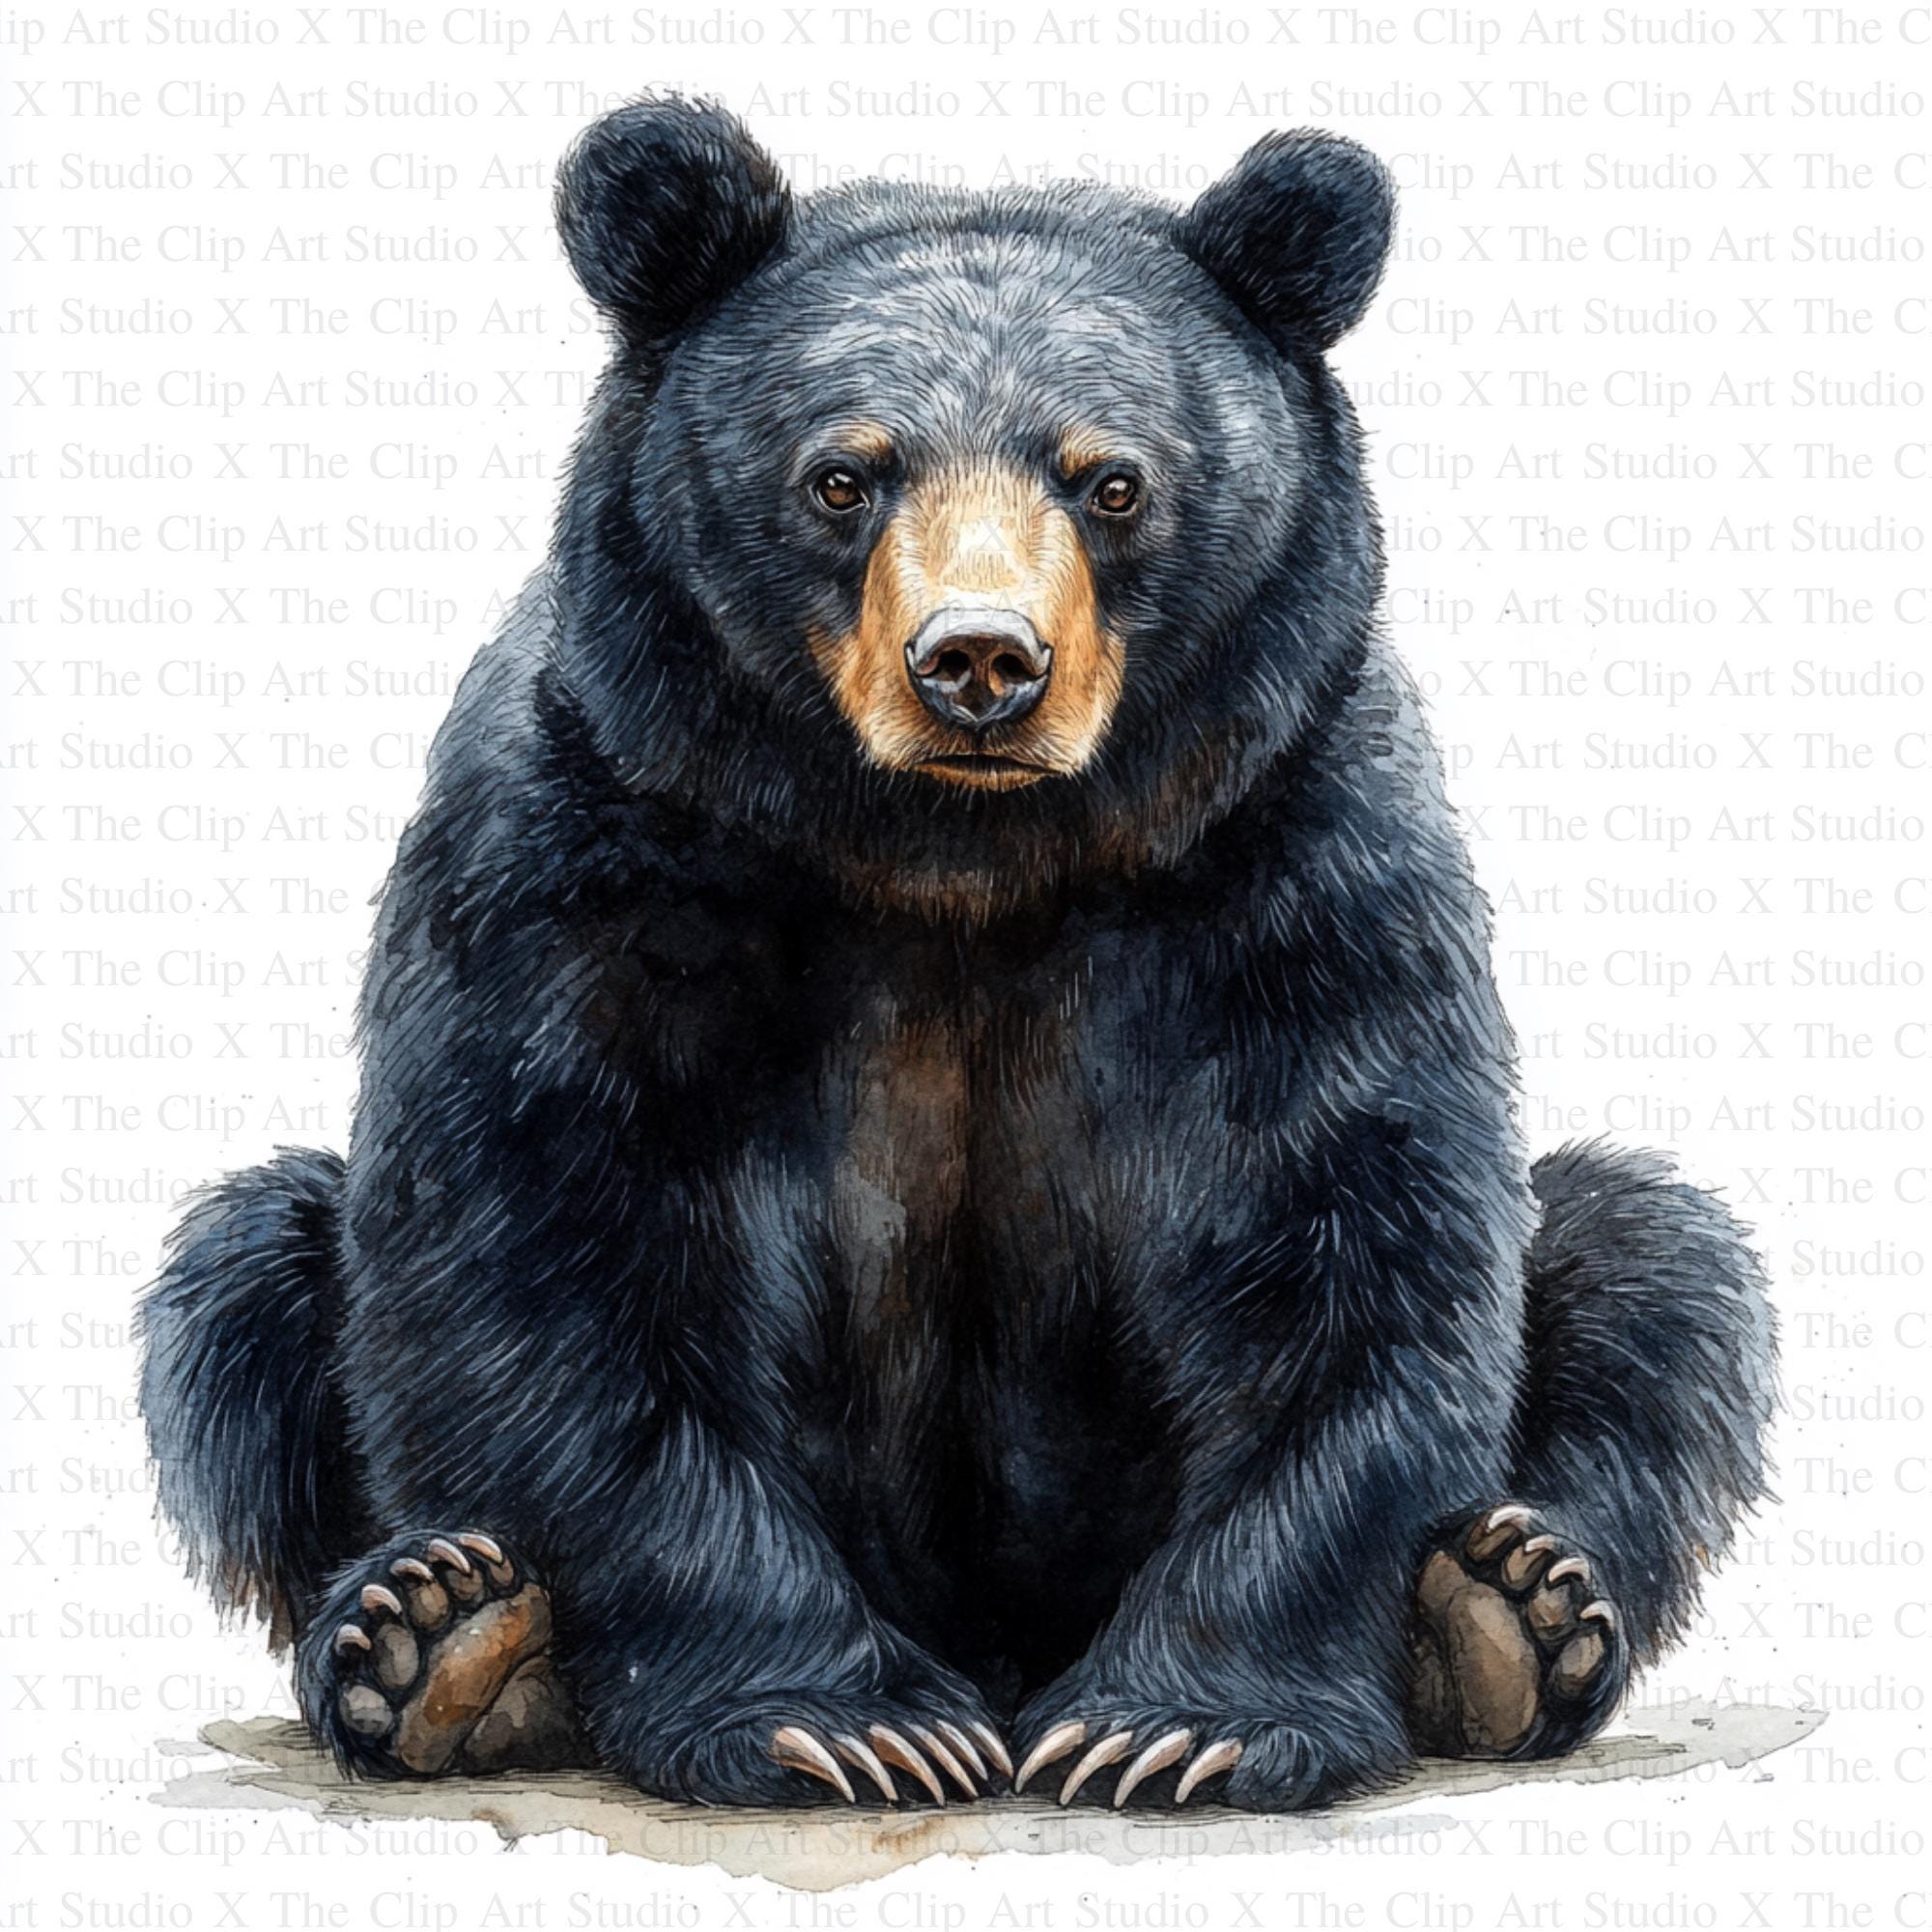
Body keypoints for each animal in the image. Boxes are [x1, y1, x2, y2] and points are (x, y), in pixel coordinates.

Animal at [138, 99, 1775, 1814]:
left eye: (1110, 482)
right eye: (842, 476)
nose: (981, 660)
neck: (959, 858)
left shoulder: (1296, 861)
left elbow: (1349, 1239)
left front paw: (1178, 1723)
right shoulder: (586, 843)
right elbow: (546, 1245)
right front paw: (840, 1720)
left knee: (1658, 1272)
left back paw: (1514, 1607)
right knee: (245, 1285)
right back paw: (443, 1636)